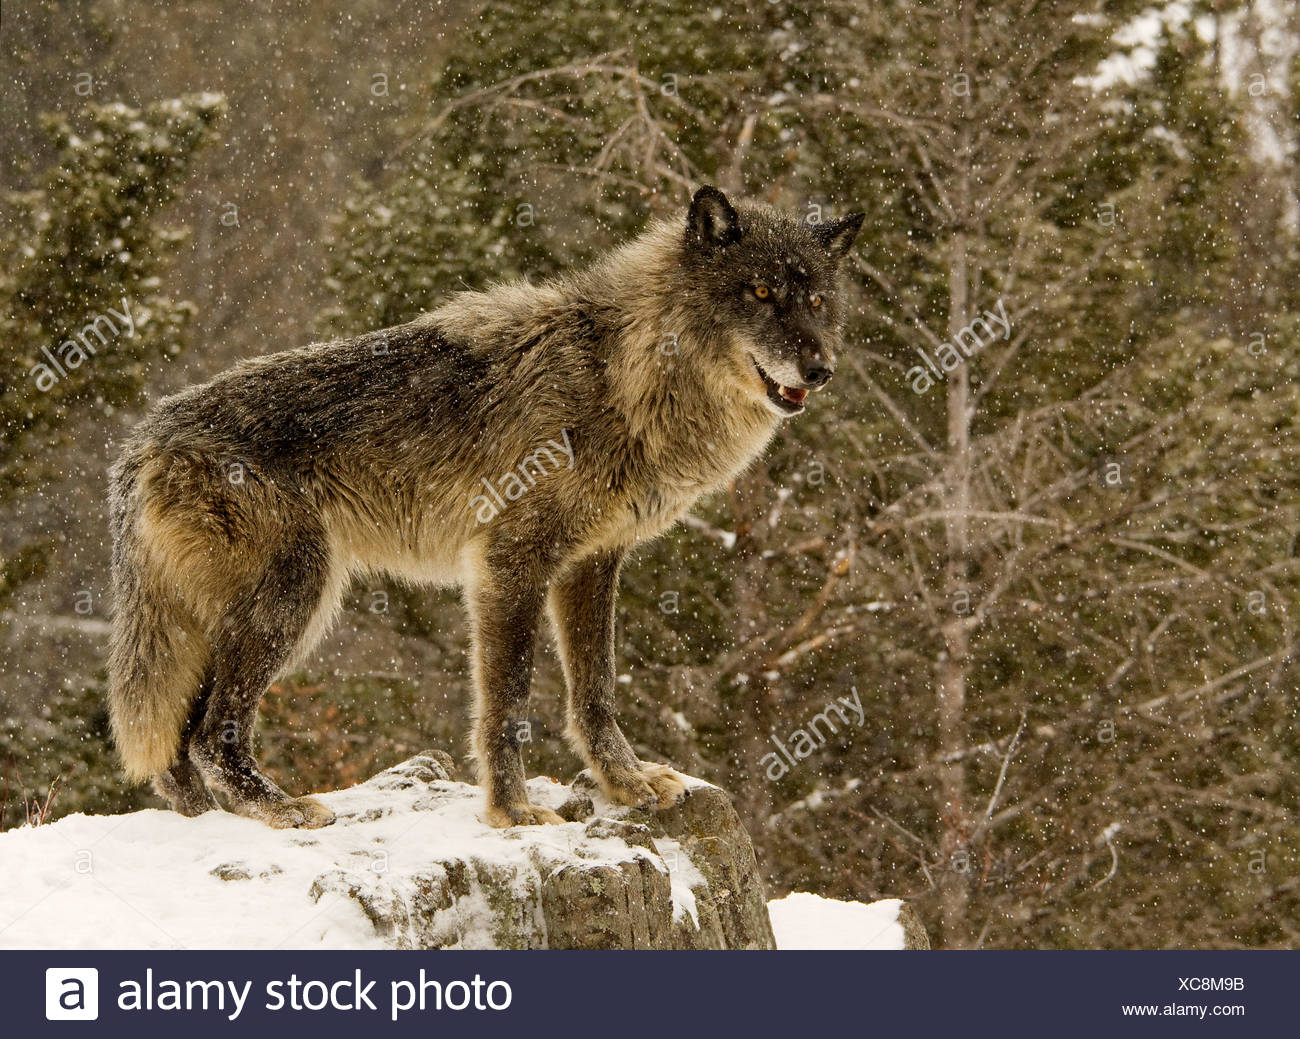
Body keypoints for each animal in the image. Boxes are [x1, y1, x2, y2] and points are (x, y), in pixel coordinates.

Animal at [106, 186, 863, 829]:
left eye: (817, 300)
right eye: (760, 293)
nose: (821, 369)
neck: (621, 378)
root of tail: (143, 441)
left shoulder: (592, 563)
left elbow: (595, 692)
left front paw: (626, 784)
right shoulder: (510, 562)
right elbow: (508, 700)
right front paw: (514, 812)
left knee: (176, 746)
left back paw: (210, 818)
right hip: (296, 598)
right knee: (210, 733)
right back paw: (283, 809)